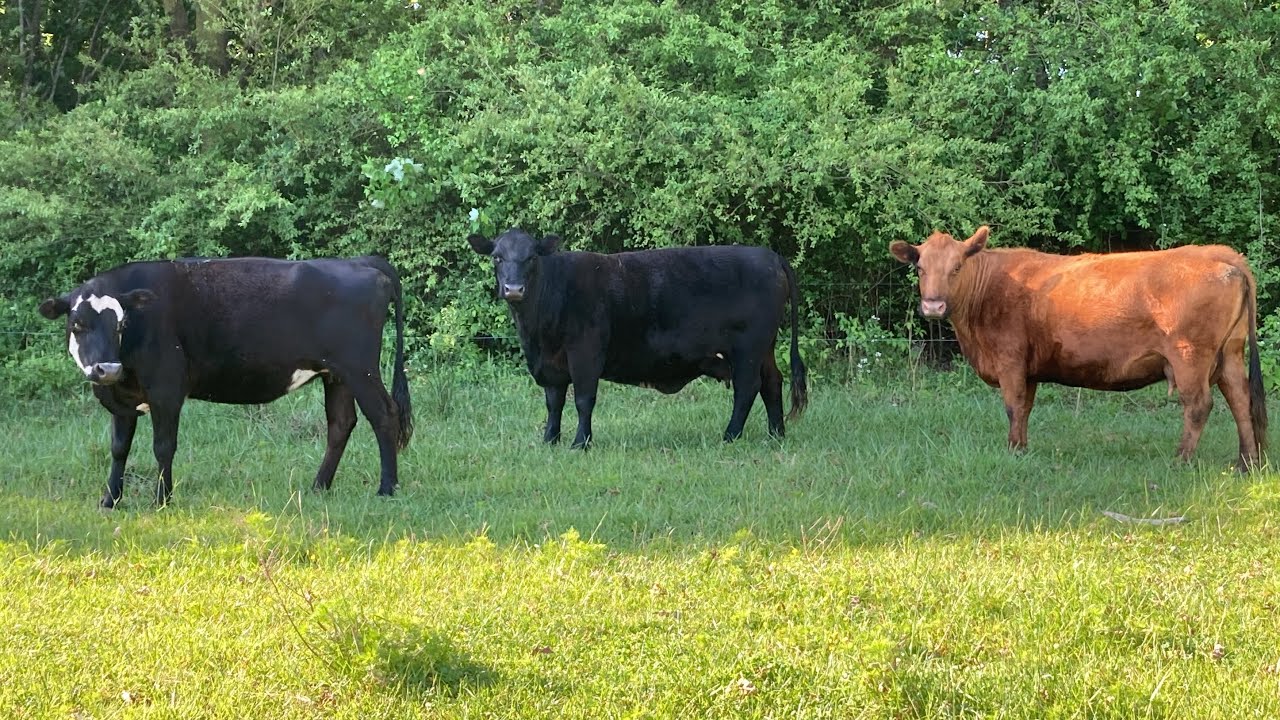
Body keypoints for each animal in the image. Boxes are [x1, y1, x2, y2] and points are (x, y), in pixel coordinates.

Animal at [38, 256, 414, 508]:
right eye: (77, 324)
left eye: (120, 324)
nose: (107, 368)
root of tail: (357, 261)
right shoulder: (122, 400)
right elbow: (118, 449)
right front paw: (110, 501)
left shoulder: (166, 390)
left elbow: (163, 447)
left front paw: (162, 501)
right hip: (336, 374)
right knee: (341, 423)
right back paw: (319, 486)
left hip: (359, 369)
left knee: (384, 415)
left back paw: (387, 488)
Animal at [467, 228, 808, 448]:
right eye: (497, 257)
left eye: (532, 257)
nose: (513, 289)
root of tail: (768, 255)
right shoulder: (551, 366)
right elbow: (554, 402)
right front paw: (550, 440)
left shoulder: (586, 353)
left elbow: (583, 399)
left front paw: (581, 443)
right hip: (764, 348)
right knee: (772, 383)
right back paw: (776, 434)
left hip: (748, 348)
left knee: (747, 388)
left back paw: (730, 436)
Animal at [889, 225, 1267, 468]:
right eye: (920, 268)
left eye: (956, 267)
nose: (933, 306)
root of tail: (1219, 253)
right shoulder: (1029, 368)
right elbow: (1025, 409)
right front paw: (1022, 448)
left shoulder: (1010, 359)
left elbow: (1013, 406)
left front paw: (1013, 451)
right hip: (1229, 354)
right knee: (1240, 400)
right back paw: (1247, 462)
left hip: (1191, 355)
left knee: (1200, 405)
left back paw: (1182, 459)